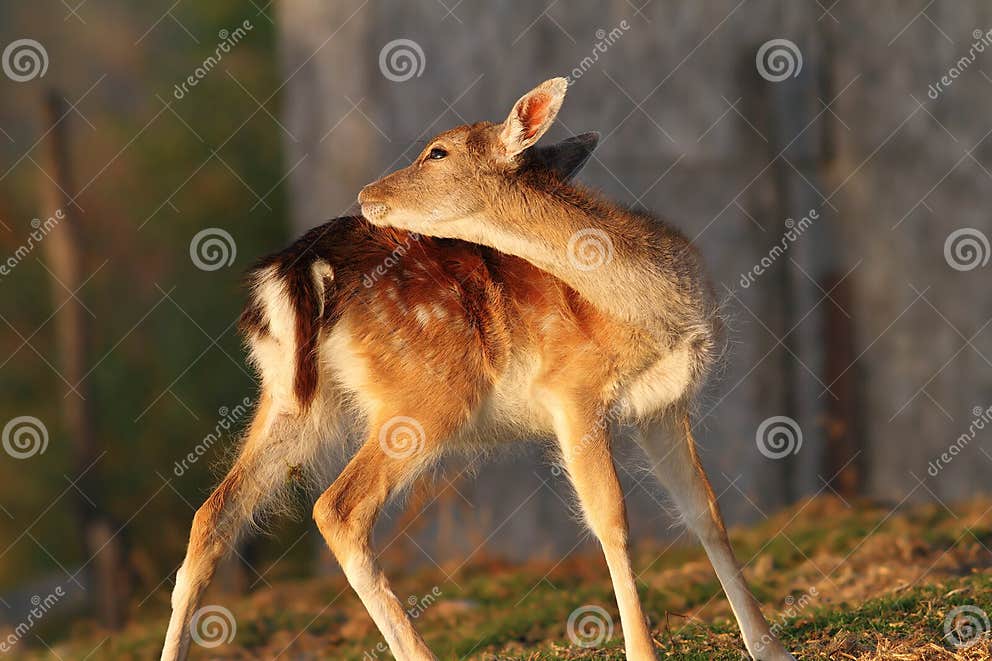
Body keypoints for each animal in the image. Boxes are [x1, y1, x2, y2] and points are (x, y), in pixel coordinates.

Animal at [354, 78, 798, 661]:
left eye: (437, 151)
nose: (365, 194)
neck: (660, 310)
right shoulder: (570, 391)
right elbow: (612, 519)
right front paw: (642, 652)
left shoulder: (665, 402)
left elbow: (706, 511)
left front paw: (771, 647)